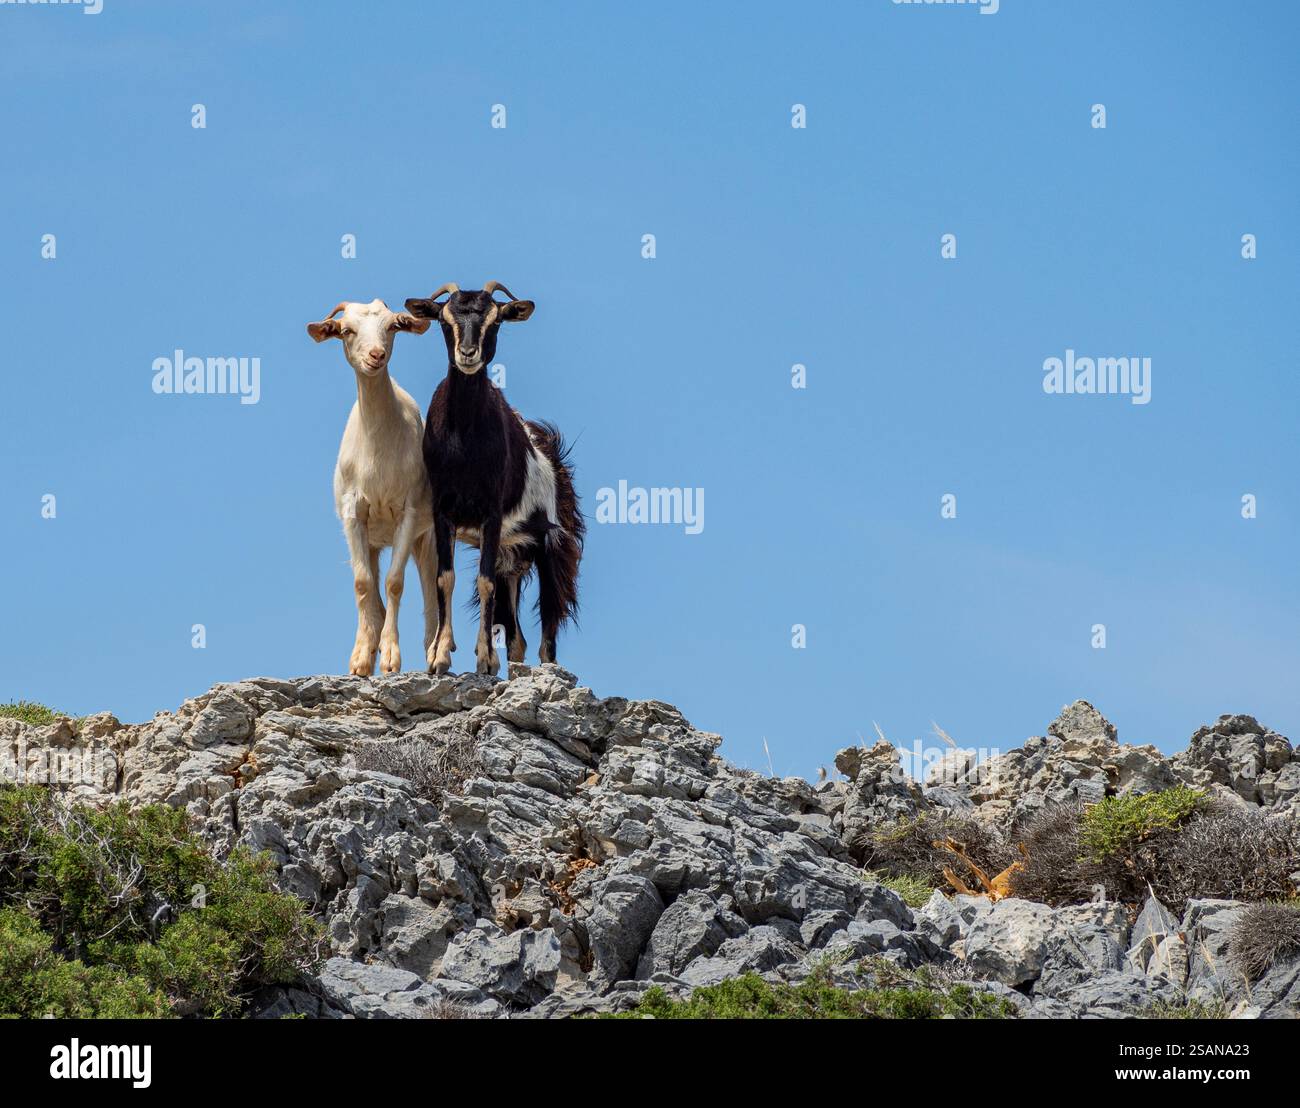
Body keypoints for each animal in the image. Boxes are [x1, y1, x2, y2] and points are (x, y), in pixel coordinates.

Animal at [306, 299, 435, 676]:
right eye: (346, 330)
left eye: (392, 326)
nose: (376, 355)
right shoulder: (355, 513)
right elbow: (363, 584)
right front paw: (362, 658)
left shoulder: (409, 511)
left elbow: (395, 583)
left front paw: (391, 658)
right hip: (377, 539)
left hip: (428, 535)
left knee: (435, 588)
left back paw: (438, 653)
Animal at [404, 282, 584, 676]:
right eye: (444, 320)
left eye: (496, 320)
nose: (468, 354)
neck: (464, 440)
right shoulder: (443, 511)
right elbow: (445, 578)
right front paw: (439, 657)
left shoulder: (491, 513)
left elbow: (483, 581)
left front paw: (485, 659)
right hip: (511, 555)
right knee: (517, 636)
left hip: (550, 543)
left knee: (549, 622)